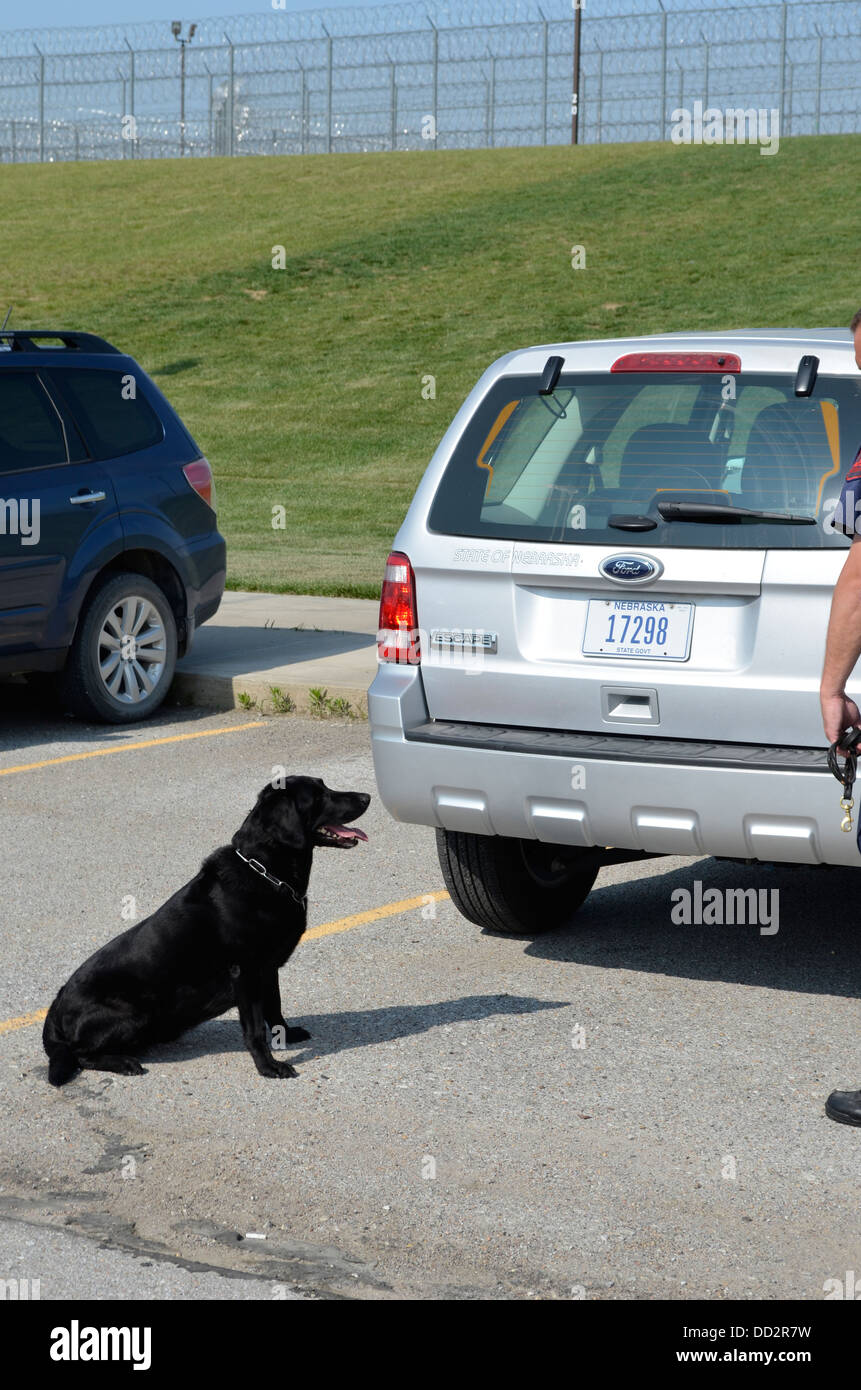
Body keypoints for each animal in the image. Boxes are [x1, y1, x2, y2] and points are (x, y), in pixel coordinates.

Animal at [44, 772, 367, 1084]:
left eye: (325, 786)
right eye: (319, 795)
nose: (367, 796)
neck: (266, 873)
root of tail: (56, 1006)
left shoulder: (268, 968)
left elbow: (274, 1008)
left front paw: (284, 1036)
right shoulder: (246, 973)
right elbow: (254, 1030)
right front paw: (268, 1066)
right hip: (133, 1012)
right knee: (80, 1055)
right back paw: (123, 1062)